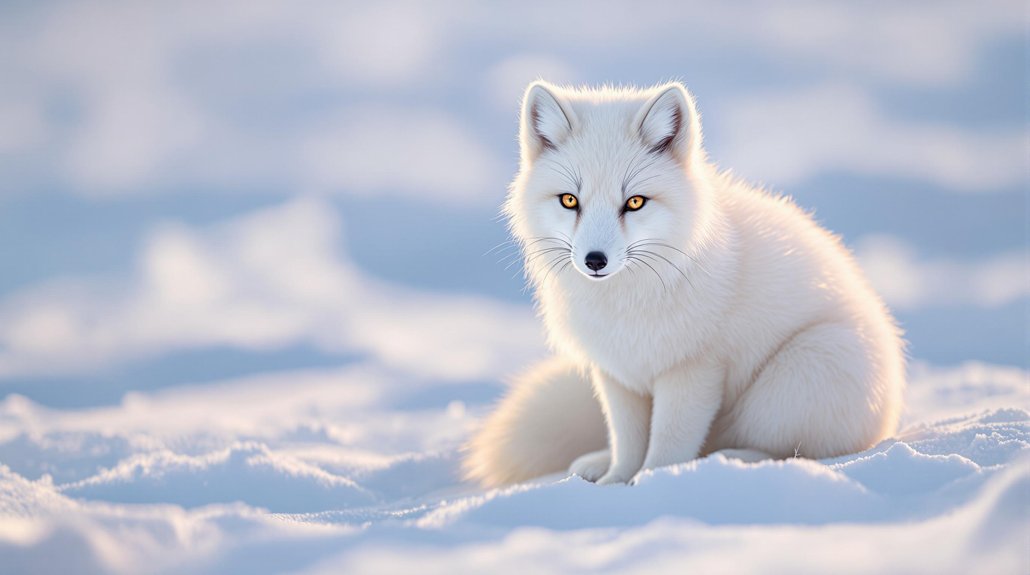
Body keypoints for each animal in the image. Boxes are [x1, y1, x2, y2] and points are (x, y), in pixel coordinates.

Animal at [463, 81, 905, 487]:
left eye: (635, 202)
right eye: (569, 200)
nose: (594, 260)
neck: (627, 302)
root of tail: (890, 411)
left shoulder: (694, 370)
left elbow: (669, 443)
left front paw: (656, 483)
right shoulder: (617, 374)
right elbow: (627, 440)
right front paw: (616, 483)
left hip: (797, 377)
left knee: (791, 450)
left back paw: (732, 460)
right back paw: (597, 463)